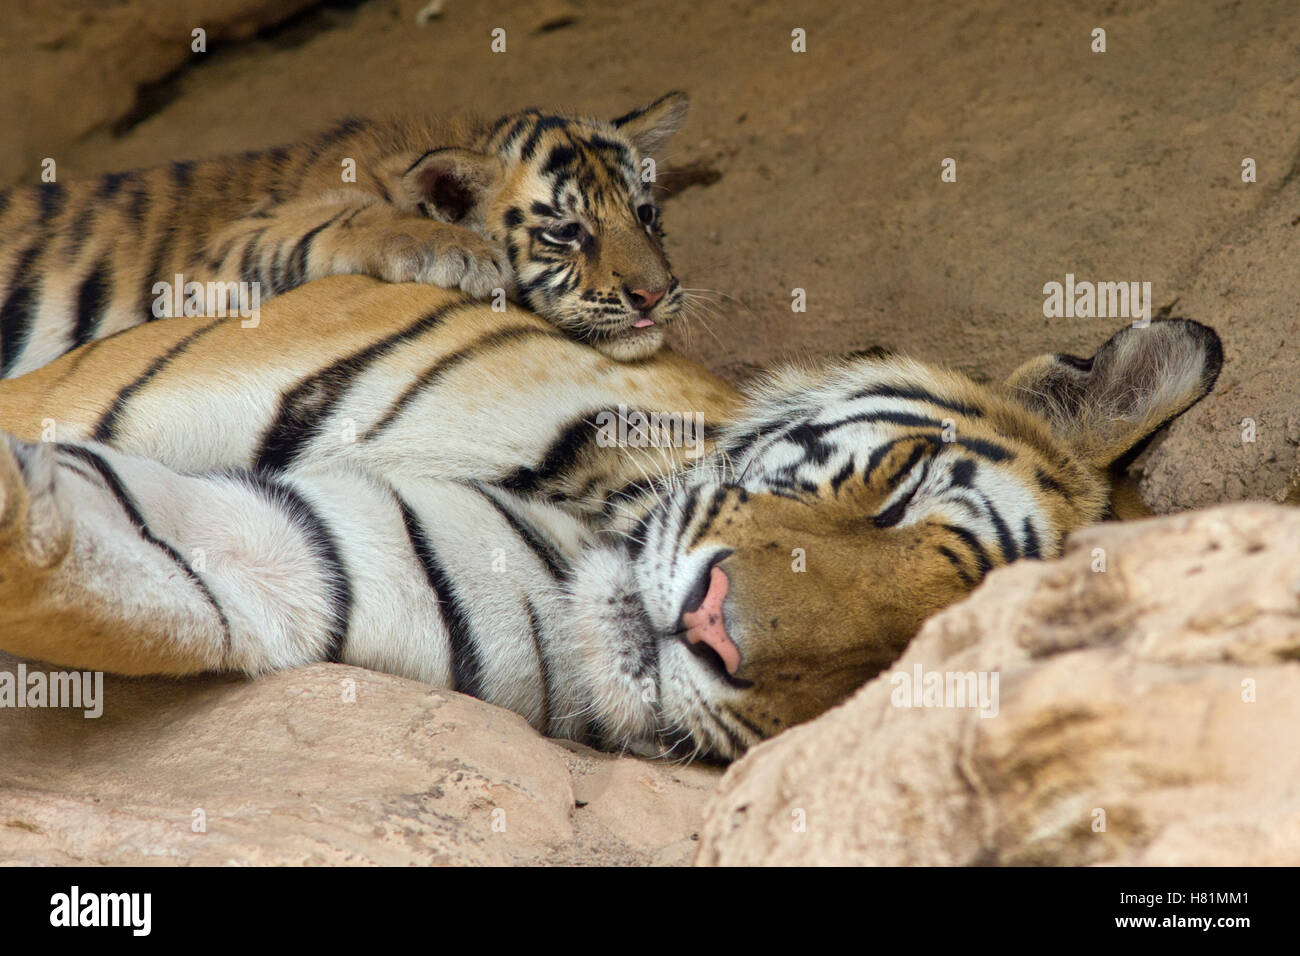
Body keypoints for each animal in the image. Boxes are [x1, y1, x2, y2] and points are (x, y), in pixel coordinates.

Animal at [0, 92, 690, 378]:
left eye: (645, 216)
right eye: (567, 232)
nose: (655, 295)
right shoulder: (211, 263)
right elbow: (331, 220)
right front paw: (458, 252)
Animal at [0, 276, 1222, 760]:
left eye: (890, 673)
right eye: (899, 495)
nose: (713, 629)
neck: (576, 501)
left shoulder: (337, 557)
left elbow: (140, 565)